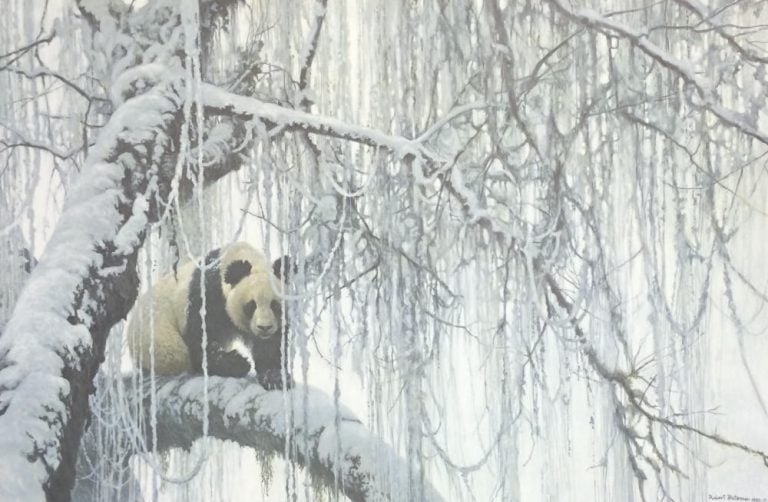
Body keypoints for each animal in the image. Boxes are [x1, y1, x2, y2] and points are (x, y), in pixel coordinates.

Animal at [126, 242, 293, 390]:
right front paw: (237, 362)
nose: (264, 327)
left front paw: (275, 377)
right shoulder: (208, 293)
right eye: (251, 305)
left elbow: (271, 346)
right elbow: (201, 336)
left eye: (275, 305)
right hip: (156, 338)